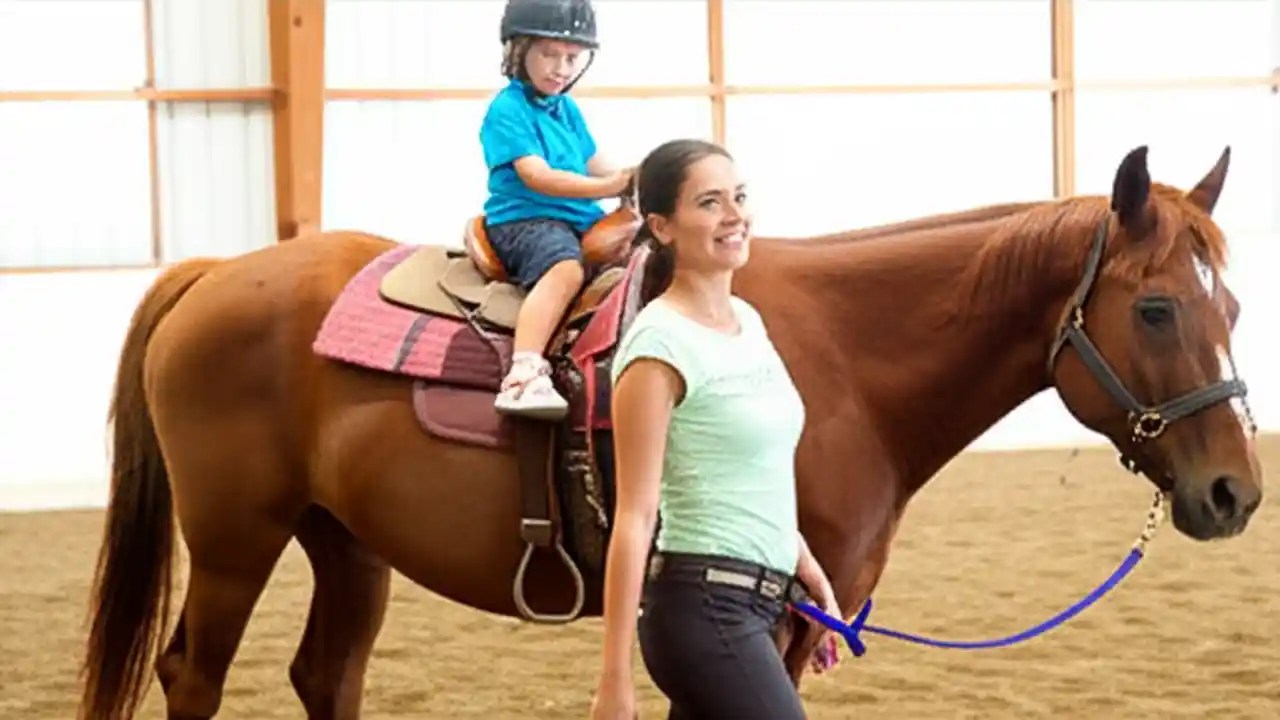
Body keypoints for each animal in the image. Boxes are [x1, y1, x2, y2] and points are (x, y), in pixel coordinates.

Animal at [77, 144, 1260, 719]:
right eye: (1158, 309)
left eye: (1234, 305)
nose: (1234, 494)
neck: (843, 356)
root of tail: (213, 274)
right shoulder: (771, 622)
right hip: (236, 539)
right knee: (191, 674)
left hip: (347, 544)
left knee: (326, 677)